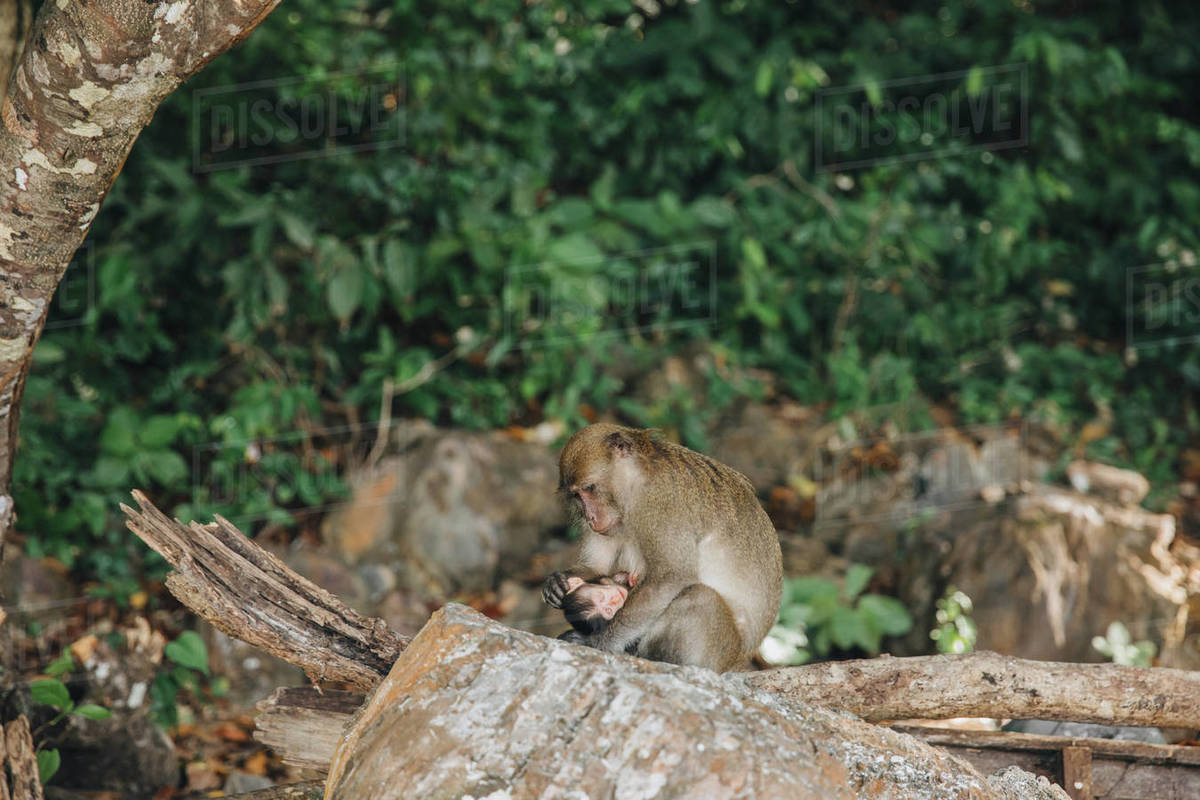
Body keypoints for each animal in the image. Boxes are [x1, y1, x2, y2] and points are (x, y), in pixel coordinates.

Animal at [542, 424, 783, 673]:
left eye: (590, 488)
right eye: (576, 496)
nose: (590, 518)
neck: (637, 480)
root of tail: (740, 659)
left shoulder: (659, 503)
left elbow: (670, 577)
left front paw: (597, 642)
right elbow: (598, 567)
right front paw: (557, 582)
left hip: (721, 653)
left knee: (700, 597)